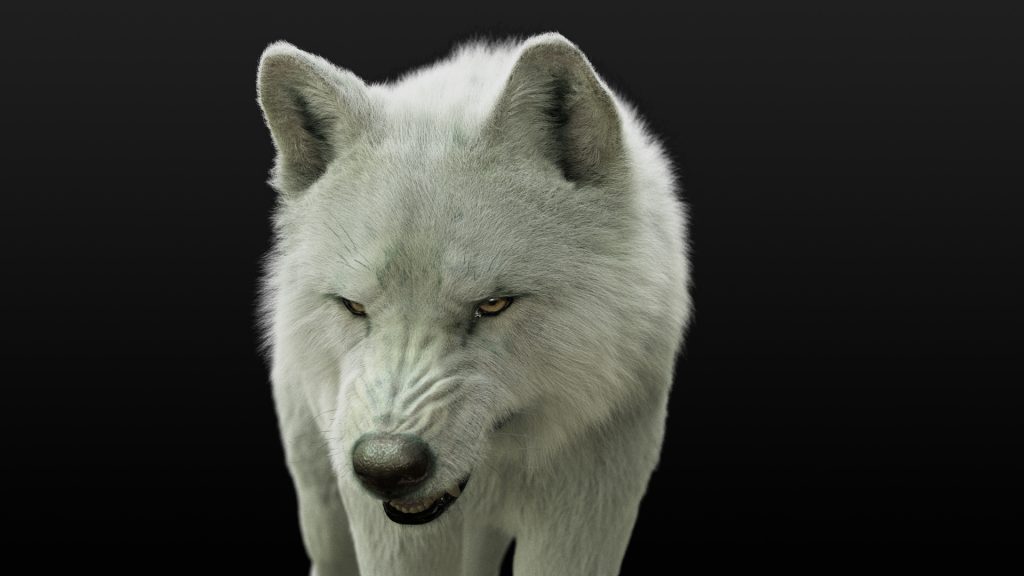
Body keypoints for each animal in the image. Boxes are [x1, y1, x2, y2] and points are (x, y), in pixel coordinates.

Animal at [256, 32, 691, 575]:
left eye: (495, 303)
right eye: (354, 307)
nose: (385, 466)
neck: (500, 467)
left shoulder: (585, 507)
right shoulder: (390, 527)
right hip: (322, 497)